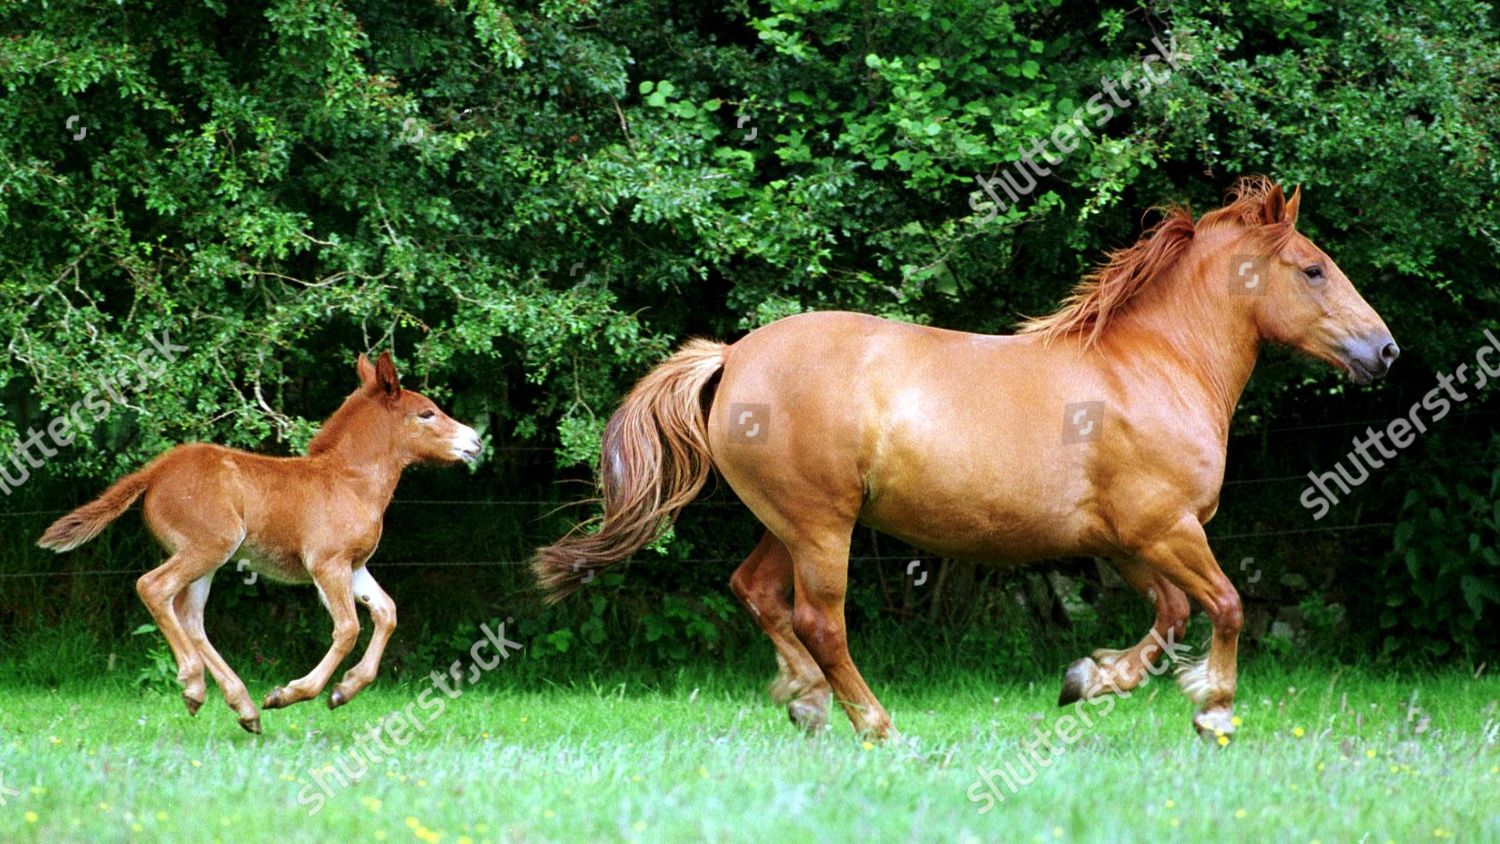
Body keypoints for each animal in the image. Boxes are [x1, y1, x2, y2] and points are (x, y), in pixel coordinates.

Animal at [38, 352, 482, 733]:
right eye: (427, 413)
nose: (475, 441)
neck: (351, 482)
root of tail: (155, 471)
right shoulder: (327, 563)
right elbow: (348, 628)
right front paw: (291, 693)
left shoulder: (354, 565)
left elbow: (387, 612)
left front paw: (345, 689)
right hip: (208, 547)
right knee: (153, 586)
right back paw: (196, 684)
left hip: (207, 559)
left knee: (191, 617)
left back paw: (241, 707)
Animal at [534, 179, 1398, 741]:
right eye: (1313, 268)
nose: (1385, 351)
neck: (1154, 365)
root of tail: (735, 356)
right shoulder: (1166, 528)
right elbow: (1225, 605)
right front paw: (1212, 708)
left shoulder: (1130, 541)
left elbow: (1172, 615)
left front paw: (1088, 679)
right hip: (821, 526)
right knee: (820, 620)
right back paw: (875, 724)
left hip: (786, 523)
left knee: (755, 592)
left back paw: (808, 702)